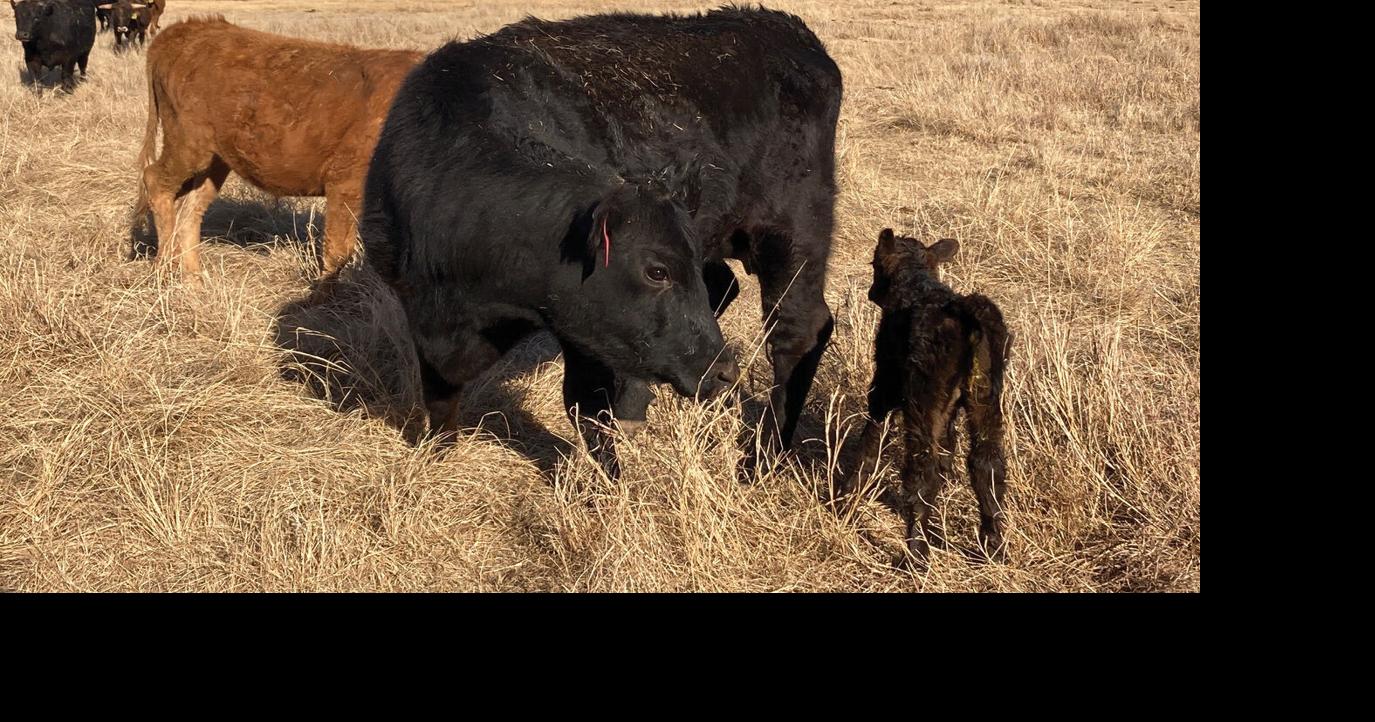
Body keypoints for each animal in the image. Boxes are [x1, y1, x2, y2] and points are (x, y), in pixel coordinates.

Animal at [132, 17, 423, 284]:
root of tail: (187, 28)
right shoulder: (345, 182)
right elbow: (338, 252)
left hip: (214, 161)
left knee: (191, 207)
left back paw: (194, 277)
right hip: (188, 145)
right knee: (156, 182)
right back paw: (164, 271)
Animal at [360, 7, 841, 476]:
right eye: (656, 271)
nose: (724, 372)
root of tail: (784, 30)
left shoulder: (582, 332)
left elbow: (585, 406)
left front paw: (608, 482)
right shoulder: (419, 314)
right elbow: (439, 396)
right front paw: (437, 459)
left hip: (793, 236)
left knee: (797, 332)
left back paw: (763, 458)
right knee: (725, 287)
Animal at [838, 229, 1012, 568]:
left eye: (874, 263)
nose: (871, 293)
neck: (917, 285)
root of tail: (967, 313)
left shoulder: (885, 388)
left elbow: (871, 443)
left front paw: (847, 501)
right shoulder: (948, 409)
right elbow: (948, 448)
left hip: (923, 398)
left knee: (922, 469)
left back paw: (916, 554)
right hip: (985, 396)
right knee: (987, 463)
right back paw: (993, 545)